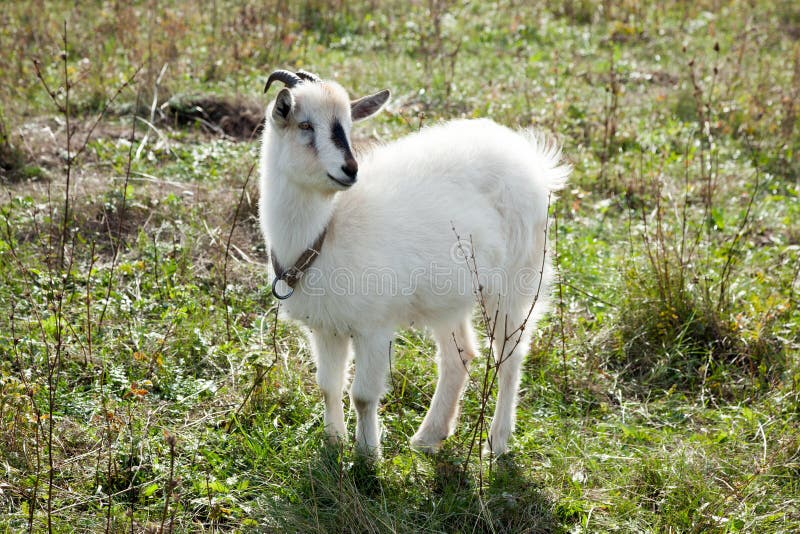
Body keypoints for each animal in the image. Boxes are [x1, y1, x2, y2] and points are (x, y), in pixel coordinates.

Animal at [258, 69, 570, 457]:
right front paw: (334, 443)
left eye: (348, 124)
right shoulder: (326, 326)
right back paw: (430, 436)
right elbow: (328, 386)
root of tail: (530, 159)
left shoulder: (374, 327)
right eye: (304, 125)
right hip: (449, 298)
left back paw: (496, 443)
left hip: (515, 282)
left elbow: (362, 395)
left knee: (510, 356)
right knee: (459, 356)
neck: (325, 232)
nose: (350, 169)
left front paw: (368, 455)